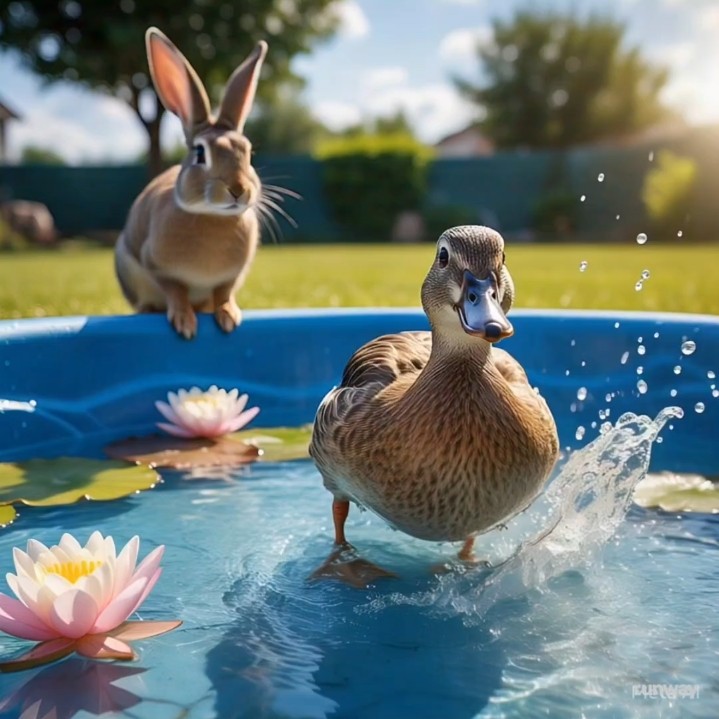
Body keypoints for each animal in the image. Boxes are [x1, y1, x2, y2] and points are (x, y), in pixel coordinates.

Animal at [115, 27, 268, 339]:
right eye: (200, 153)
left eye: (248, 152)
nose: (238, 190)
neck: (211, 216)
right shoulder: (159, 268)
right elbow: (176, 291)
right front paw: (185, 324)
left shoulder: (230, 277)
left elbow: (223, 293)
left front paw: (229, 318)